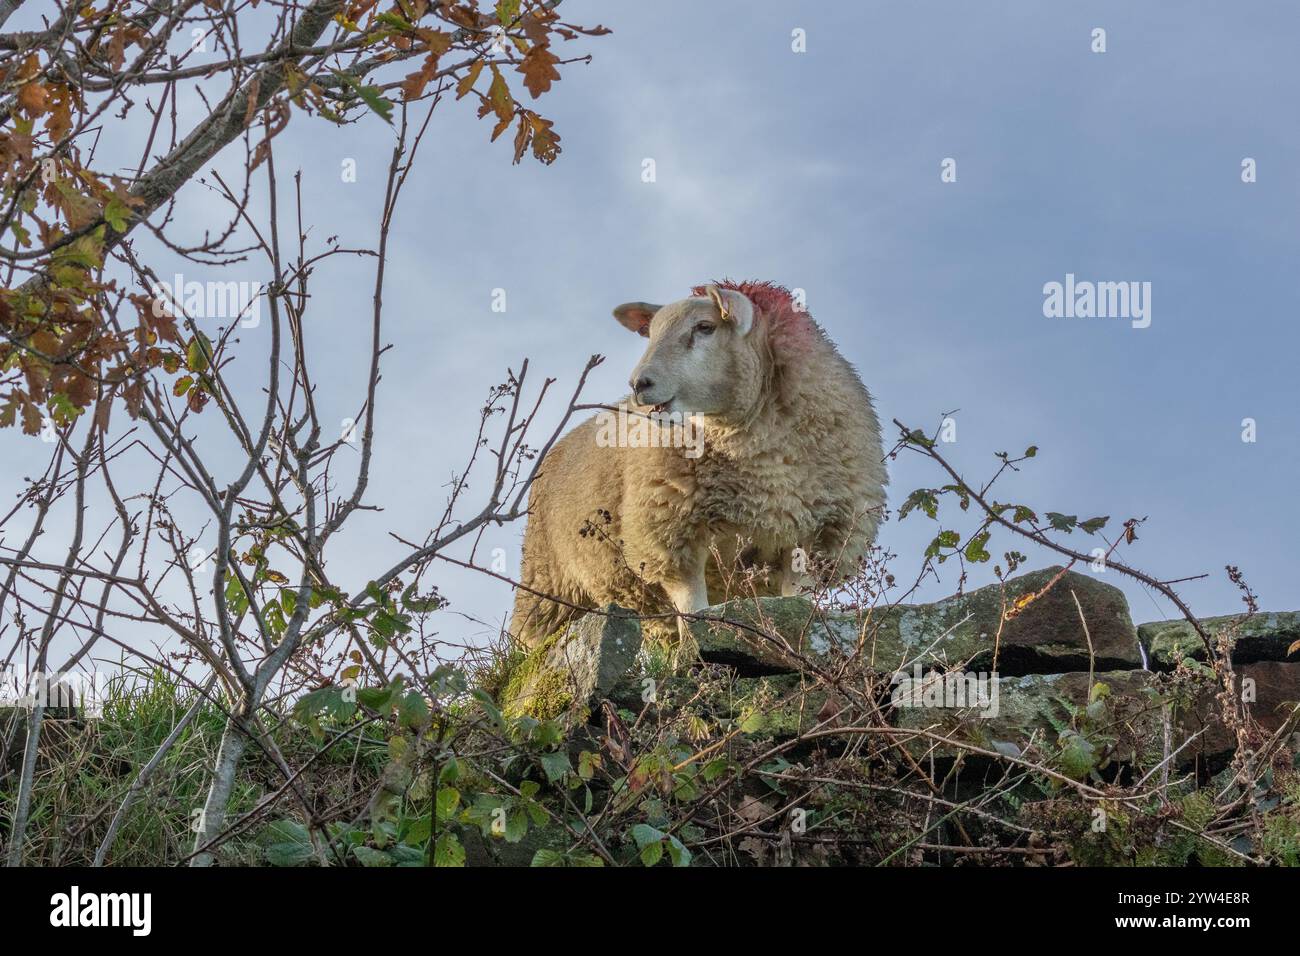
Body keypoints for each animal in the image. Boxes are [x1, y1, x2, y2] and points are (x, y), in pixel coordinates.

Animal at [510, 280, 886, 648]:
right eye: (652, 332)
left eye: (705, 327)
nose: (638, 384)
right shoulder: (673, 539)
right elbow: (694, 612)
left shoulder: (815, 539)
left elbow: (799, 601)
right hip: (546, 587)